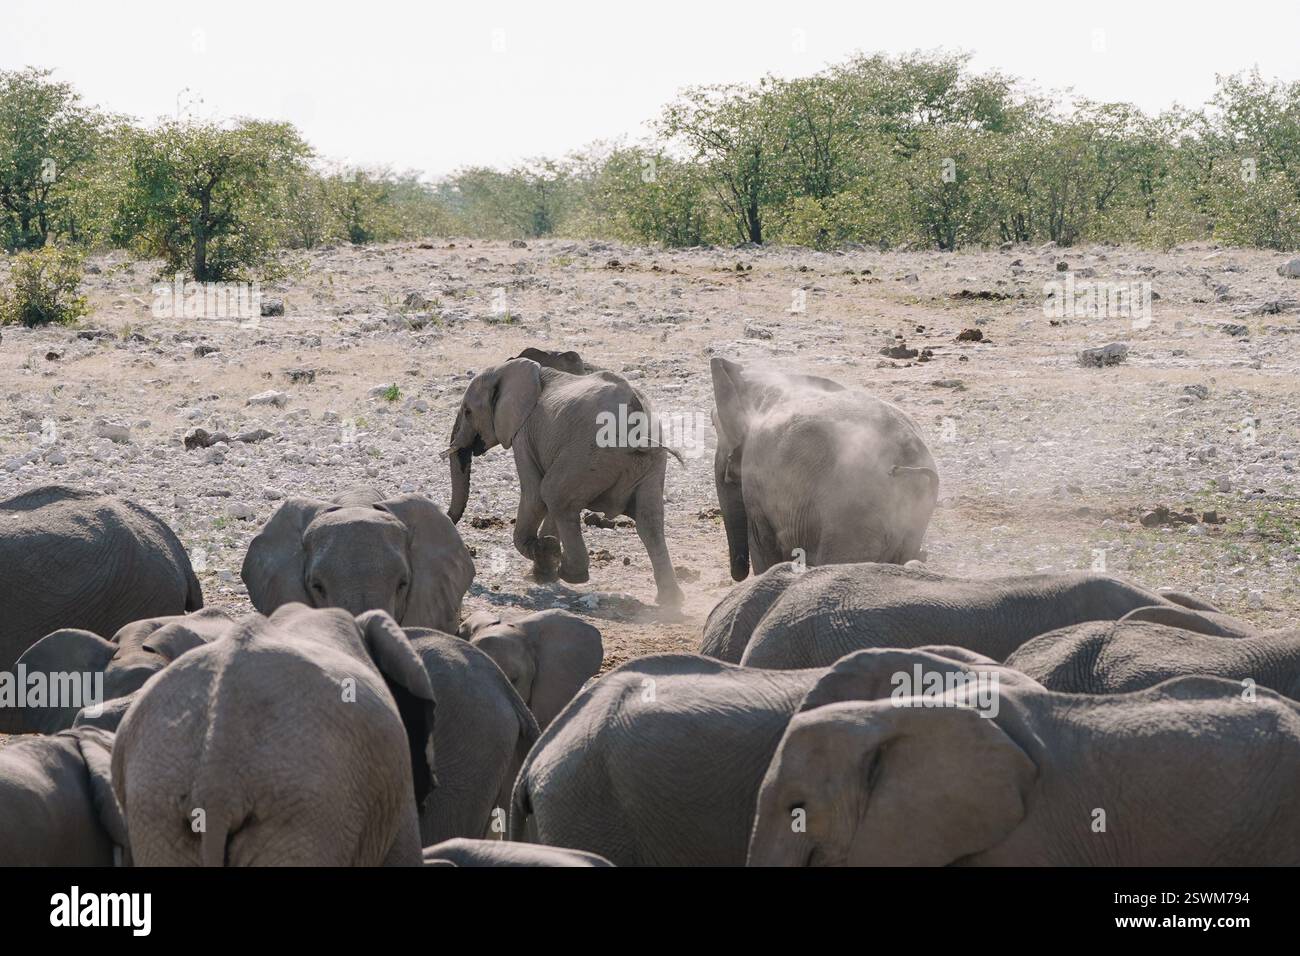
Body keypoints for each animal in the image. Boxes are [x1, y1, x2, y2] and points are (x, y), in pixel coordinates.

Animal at [443, 357, 683, 606]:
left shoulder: (523, 434)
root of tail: (636, 417)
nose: (447, 516)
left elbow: (535, 495)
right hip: (650, 463)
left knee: (552, 493)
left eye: (468, 411)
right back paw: (670, 601)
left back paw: (570, 574)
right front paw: (543, 568)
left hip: (589, 452)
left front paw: (544, 559)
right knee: (649, 520)